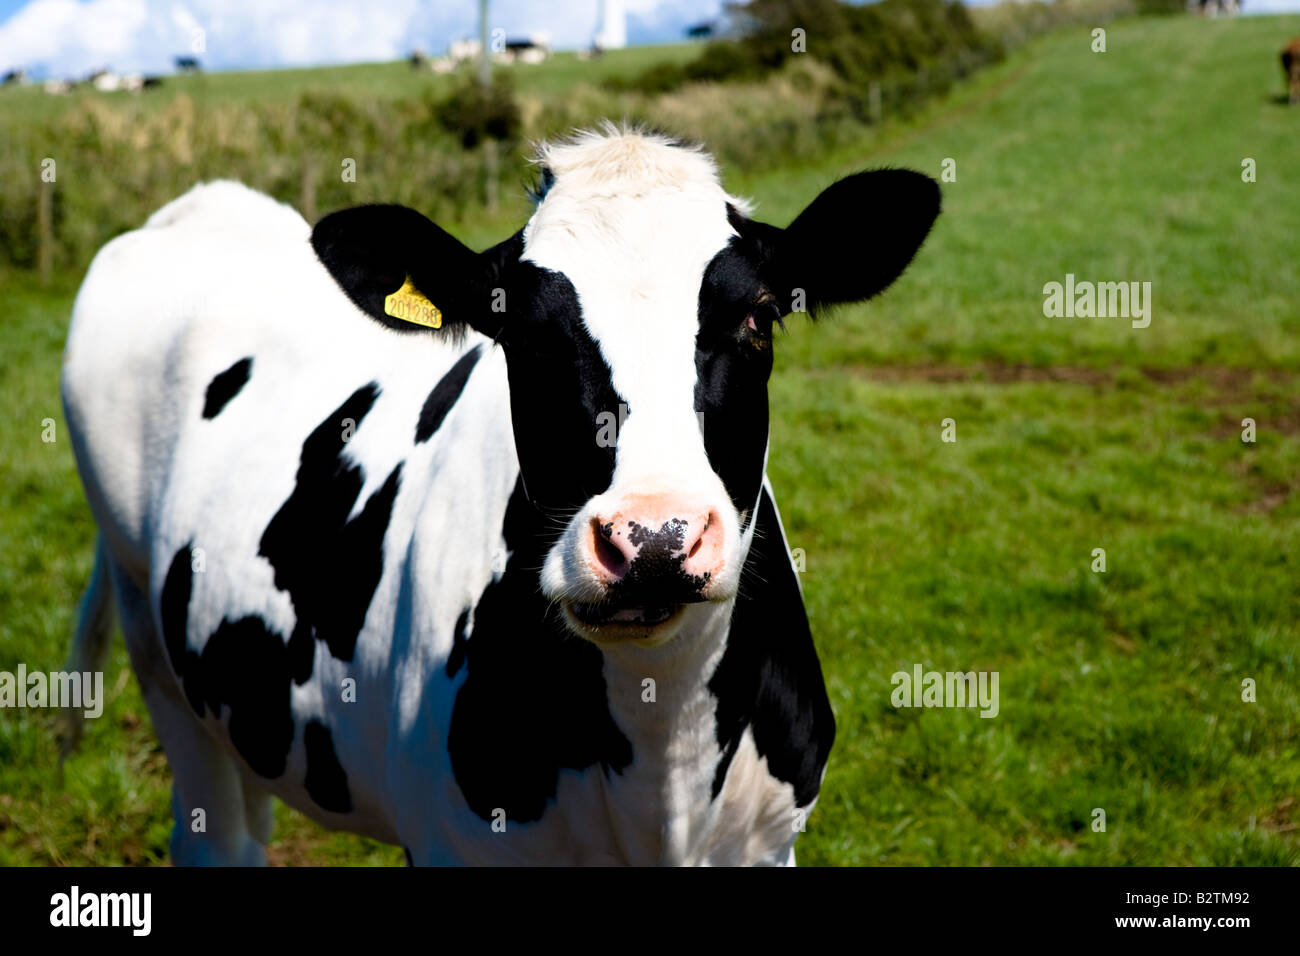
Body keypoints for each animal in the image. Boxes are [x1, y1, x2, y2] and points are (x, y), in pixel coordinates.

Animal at [61, 126, 940, 865]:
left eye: (758, 318)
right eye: (519, 332)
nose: (652, 540)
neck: (664, 762)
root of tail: (201, 205)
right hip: (151, 636)